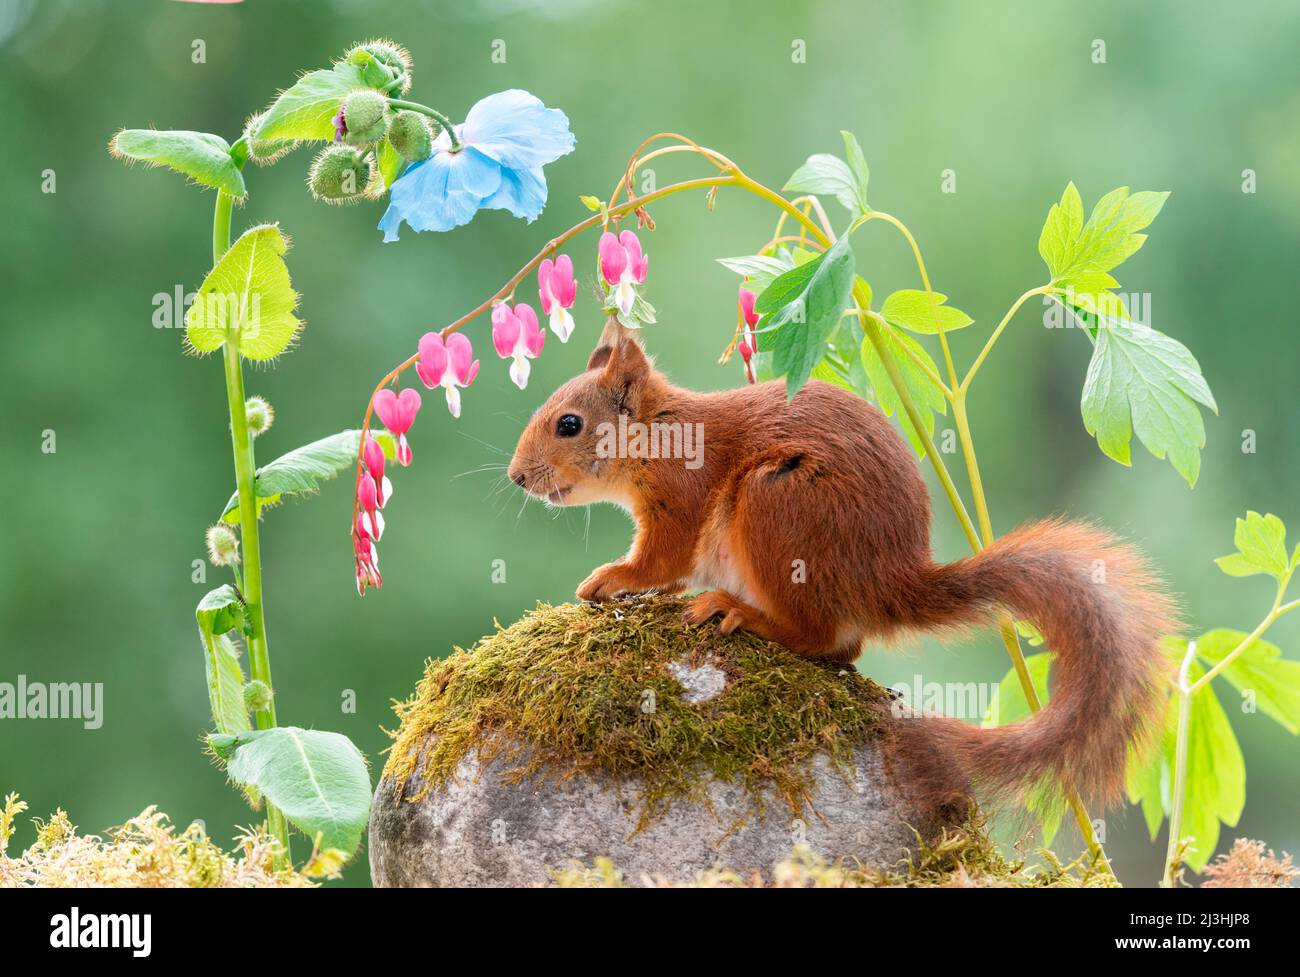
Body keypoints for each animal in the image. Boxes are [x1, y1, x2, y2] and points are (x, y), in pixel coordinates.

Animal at [508, 317, 1175, 809]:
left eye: (569, 424)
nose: (516, 477)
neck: (660, 433)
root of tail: (889, 584)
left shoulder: (682, 497)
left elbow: (661, 559)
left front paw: (611, 580)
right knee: (844, 647)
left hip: (779, 506)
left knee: (821, 636)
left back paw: (740, 612)